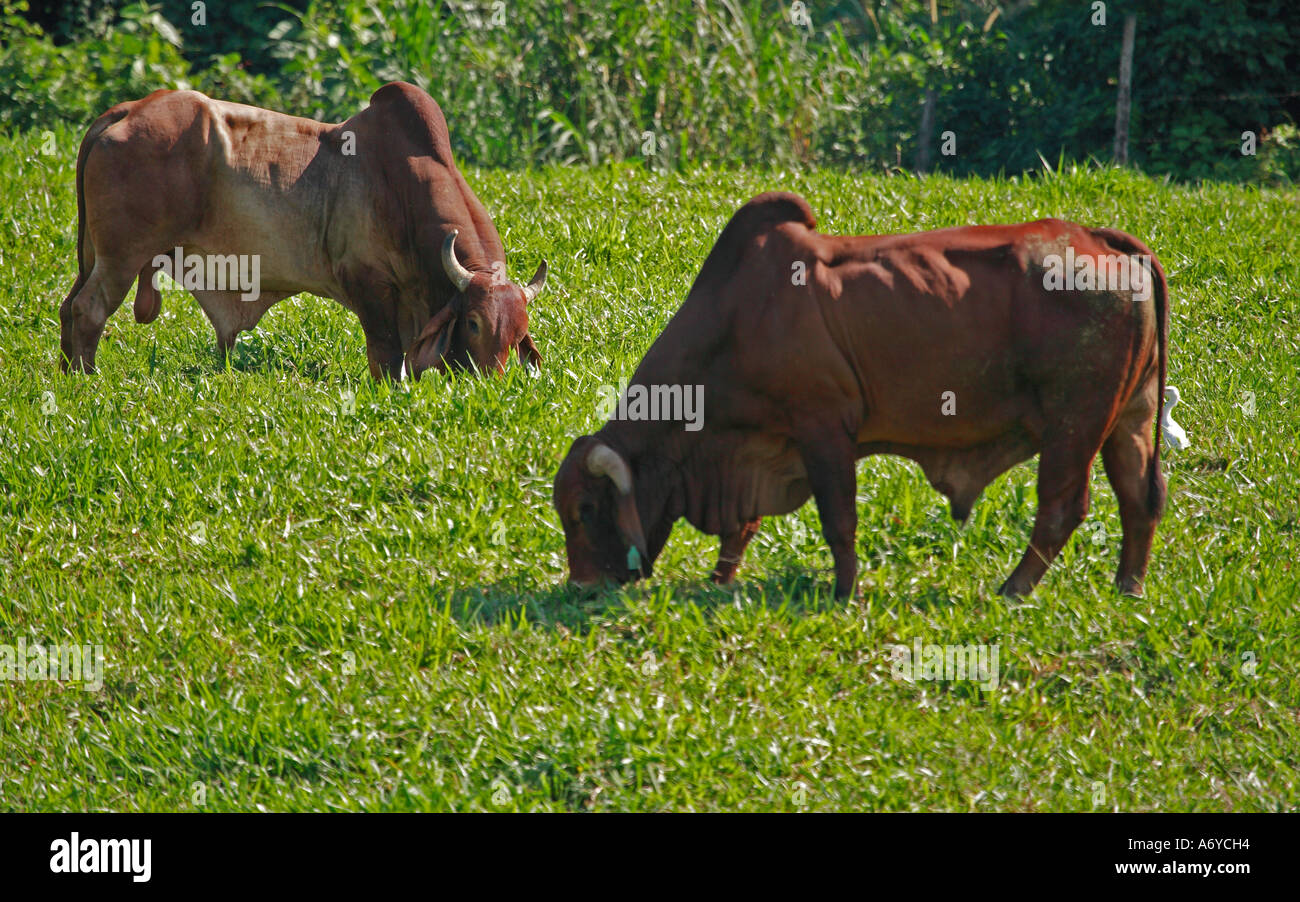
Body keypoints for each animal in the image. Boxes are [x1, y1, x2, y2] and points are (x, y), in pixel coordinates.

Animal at [59, 81, 546, 379]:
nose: (490, 382)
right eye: (474, 322)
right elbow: (387, 356)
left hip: (95, 257)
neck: (403, 189)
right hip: (122, 256)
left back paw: (66, 374)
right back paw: (87, 380)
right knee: (89, 310)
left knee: (68, 307)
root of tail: (125, 110)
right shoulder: (368, 284)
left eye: (519, 331)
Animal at [554, 191, 1178, 600]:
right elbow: (742, 528)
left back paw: (1013, 589)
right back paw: (1128, 588)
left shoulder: (823, 428)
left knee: (1061, 509)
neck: (732, 322)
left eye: (585, 510)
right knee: (1140, 497)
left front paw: (843, 593)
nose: (582, 586)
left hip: (1075, 422)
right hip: (1130, 417)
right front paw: (719, 580)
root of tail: (1102, 242)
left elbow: (838, 520)